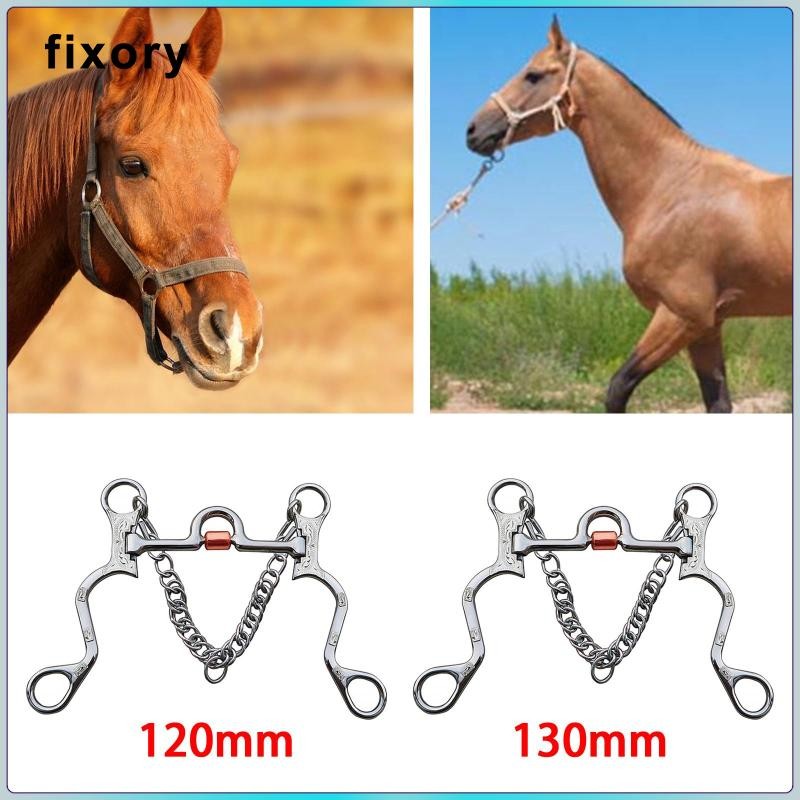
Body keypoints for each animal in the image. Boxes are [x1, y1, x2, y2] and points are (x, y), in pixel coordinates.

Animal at [466, 18, 792, 413]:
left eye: (533, 75)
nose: (472, 130)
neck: (669, 187)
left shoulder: (681, 316)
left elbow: (617, 388)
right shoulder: (708, 326)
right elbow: (718, 404)